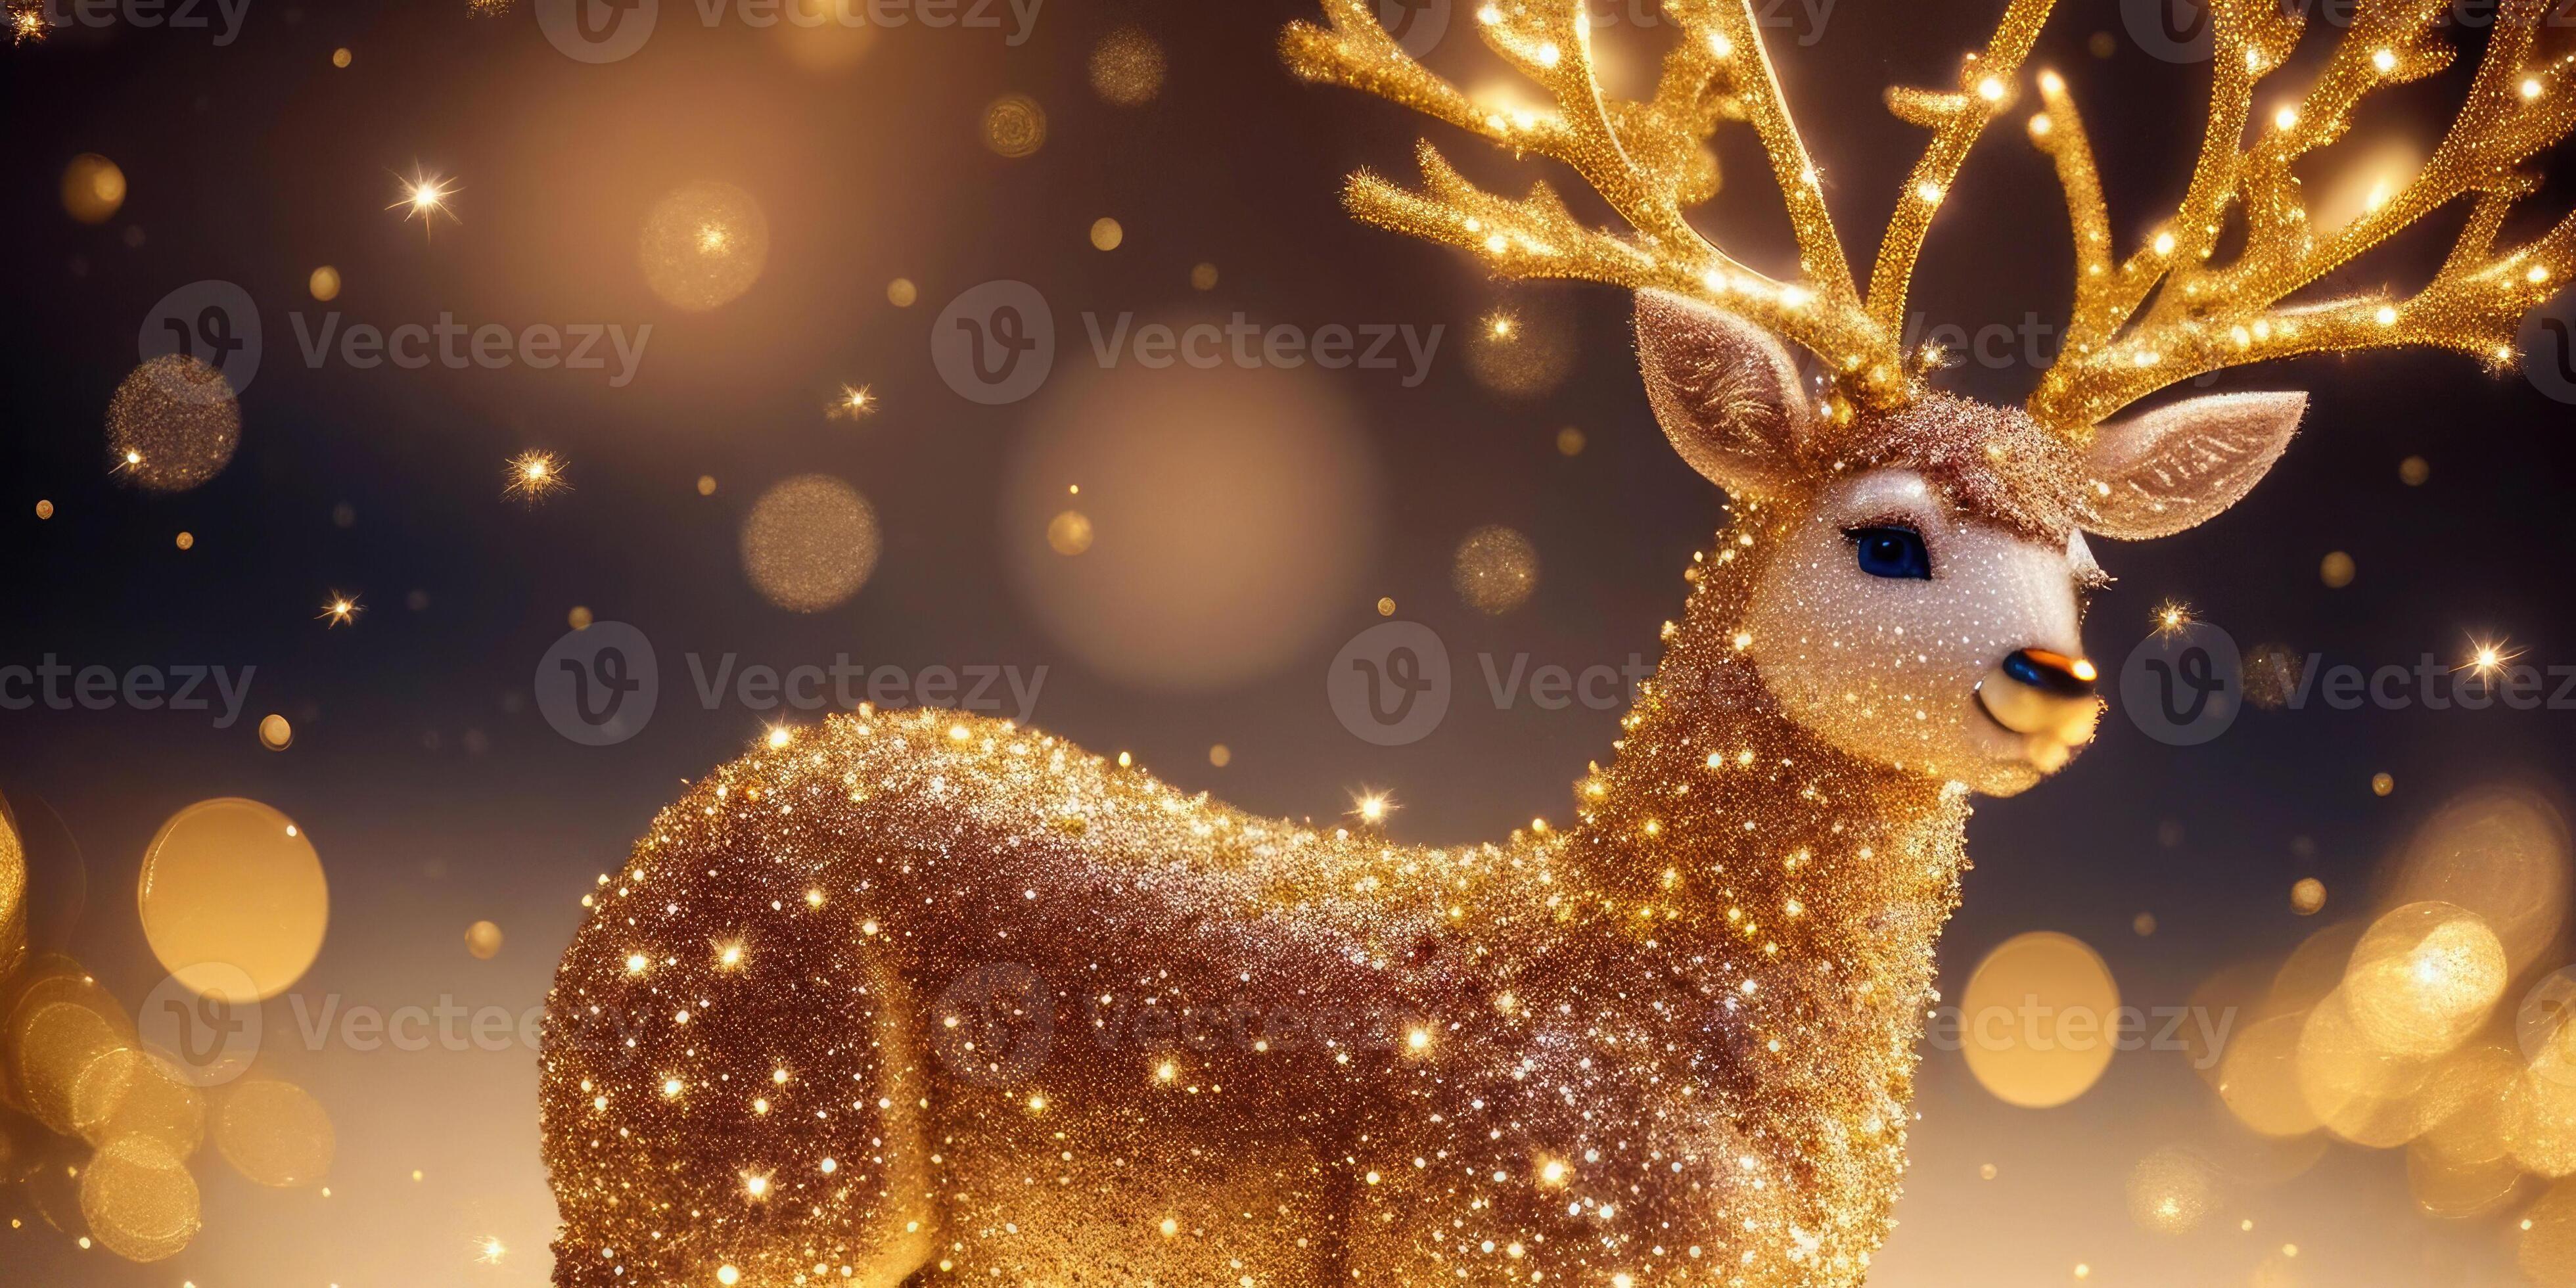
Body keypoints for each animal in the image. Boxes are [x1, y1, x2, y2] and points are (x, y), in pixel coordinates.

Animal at [537, 1, 2576, 1284]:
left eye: (2085, 573)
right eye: (1888, 538)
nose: (2048, 681)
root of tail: (651, 863)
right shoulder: (1483, 1239)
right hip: (745, 1177)